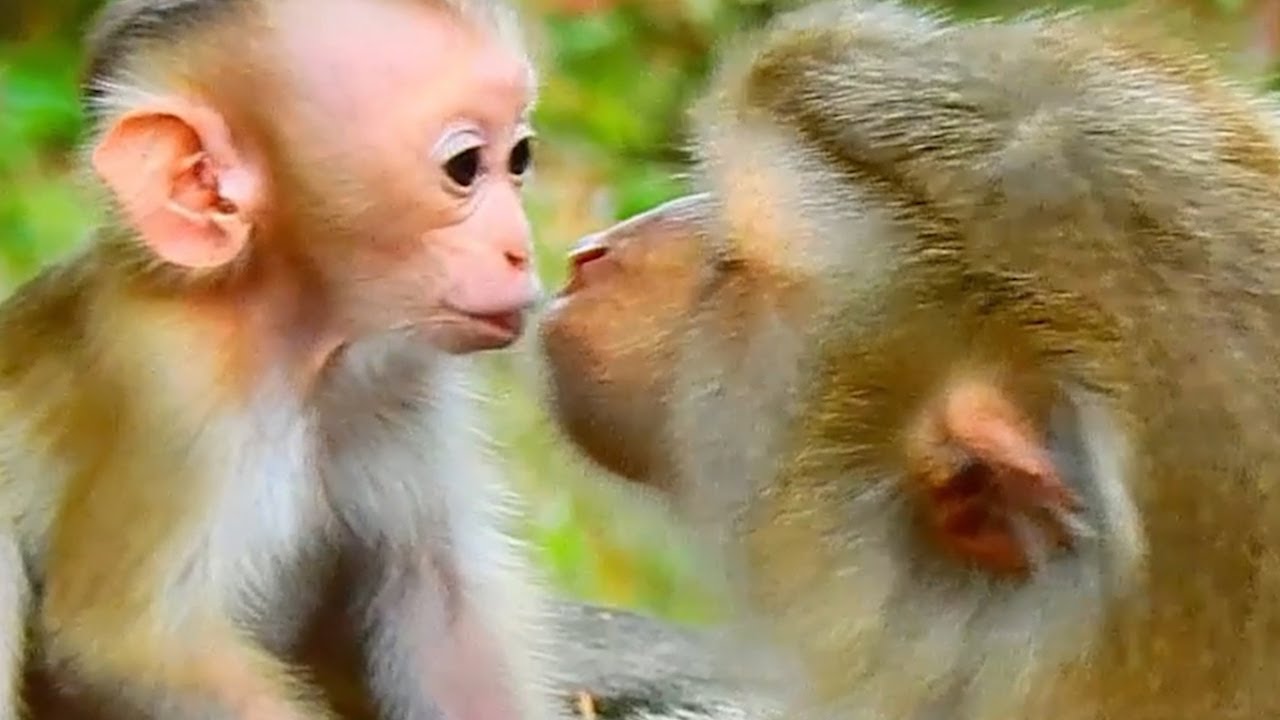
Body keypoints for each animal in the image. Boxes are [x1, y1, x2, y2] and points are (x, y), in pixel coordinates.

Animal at [0, 0, 559, 718]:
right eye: (464, 167)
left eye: (519, 157)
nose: (521, 249)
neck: (296, 345)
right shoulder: (174, 394)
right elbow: (125, 640)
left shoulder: (405, 382)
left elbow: (441, 595)